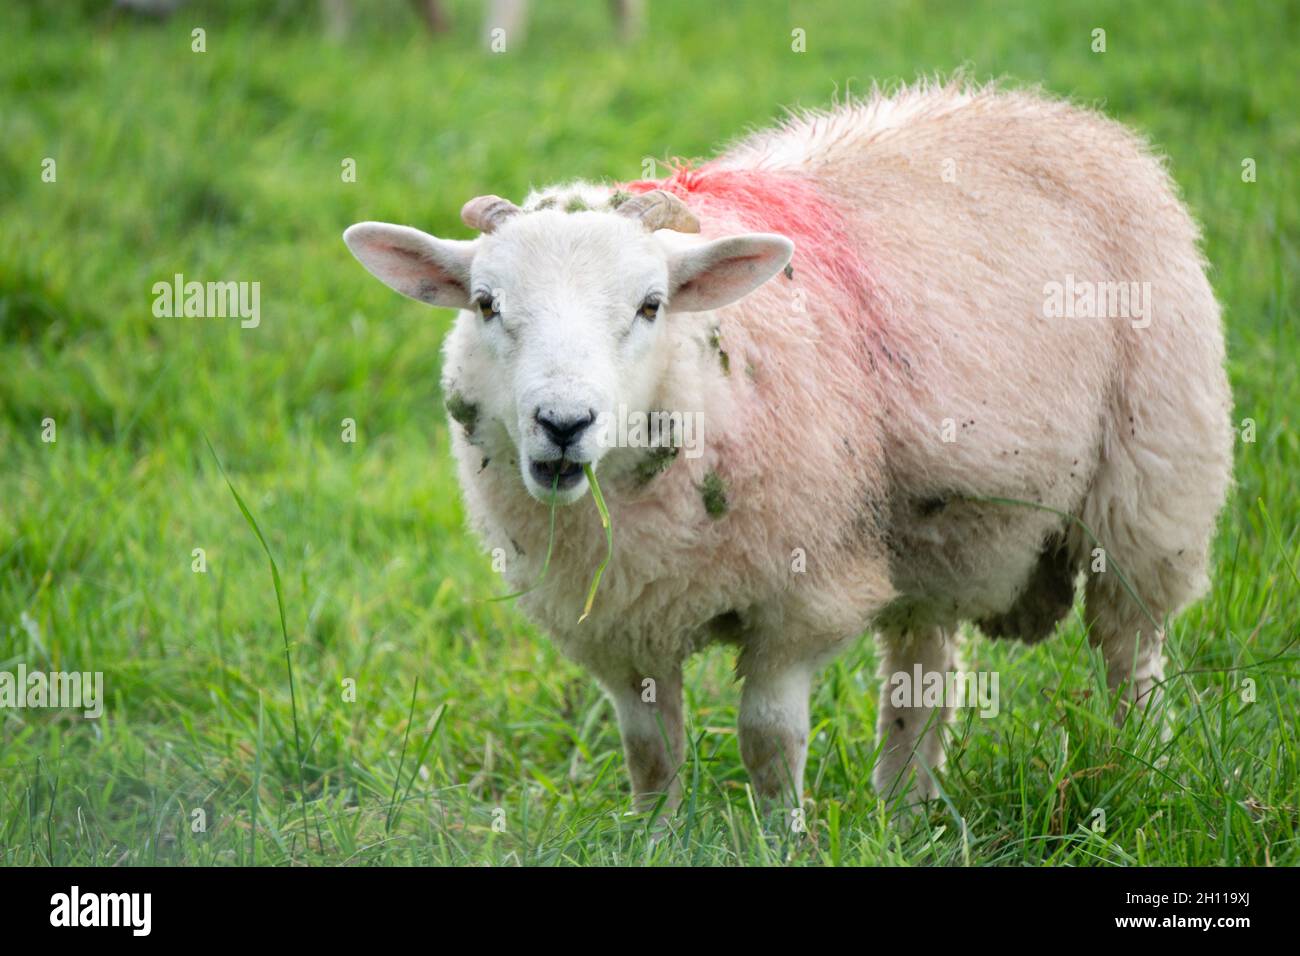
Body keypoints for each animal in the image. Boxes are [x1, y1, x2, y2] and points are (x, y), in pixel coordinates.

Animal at [342, 79, 1233, 816]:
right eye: (486, 304)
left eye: (652, 305)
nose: (564, 423)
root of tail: (1061, 114)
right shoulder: (619, 623)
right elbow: (650, 753)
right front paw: (655, 837)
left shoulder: (796, 599)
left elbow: (769, 742)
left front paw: (780, 835)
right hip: (926, 529)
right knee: (923, 669)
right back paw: (906, 809)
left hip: (1151, 481)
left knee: (1129, 648)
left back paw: (1139, 768)